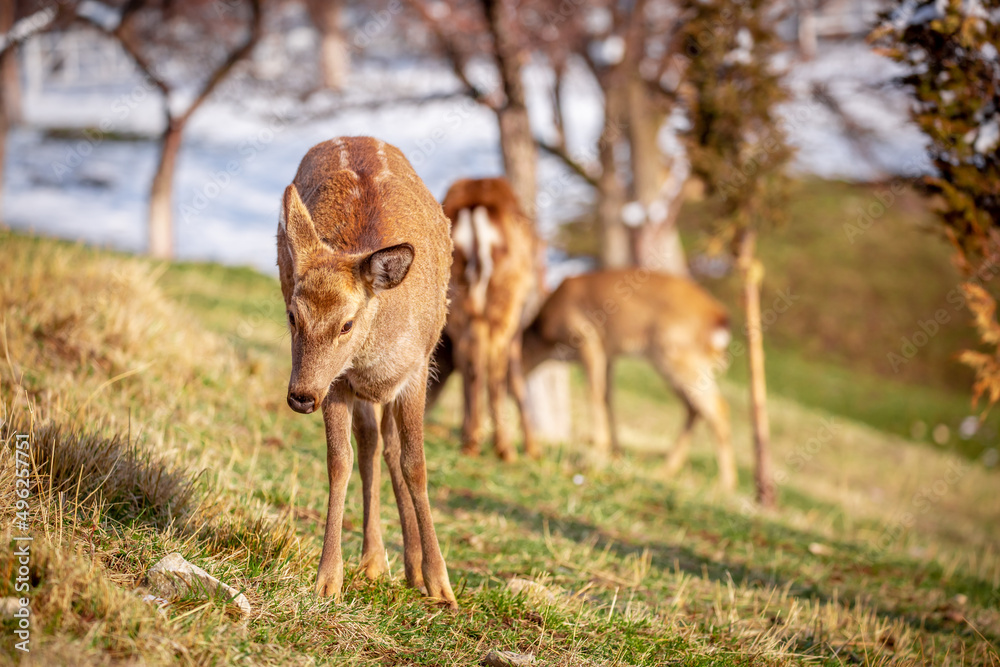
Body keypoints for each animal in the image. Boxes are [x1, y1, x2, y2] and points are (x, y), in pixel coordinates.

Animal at [277, 136, 456, 607]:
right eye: (292, 316)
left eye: (347, 323)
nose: (301, 396)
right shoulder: (339, 382)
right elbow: (339, 461)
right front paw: (327, 579)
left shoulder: (417, 370)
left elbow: (417, 466)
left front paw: (441, 585)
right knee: (373, 445)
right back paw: (376, 560)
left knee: (391, 450)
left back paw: (413, 568)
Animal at [438, 177, 542, 462]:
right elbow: (516, 375)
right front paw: (532, 448)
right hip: (504, 298)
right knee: (494, 363)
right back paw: (504, 447)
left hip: (458, 299)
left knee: (470, 358)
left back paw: (471, 441)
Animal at [520, 269, 738, 490]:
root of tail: (720, 318)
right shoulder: (608, 355)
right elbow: (607, 396)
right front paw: (615, 453)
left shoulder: (588, 338)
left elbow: (594, 393)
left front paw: (599, 451)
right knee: (694, 407)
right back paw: (665, 471)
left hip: (678, 357)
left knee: (718, 407)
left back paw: (726, 484)